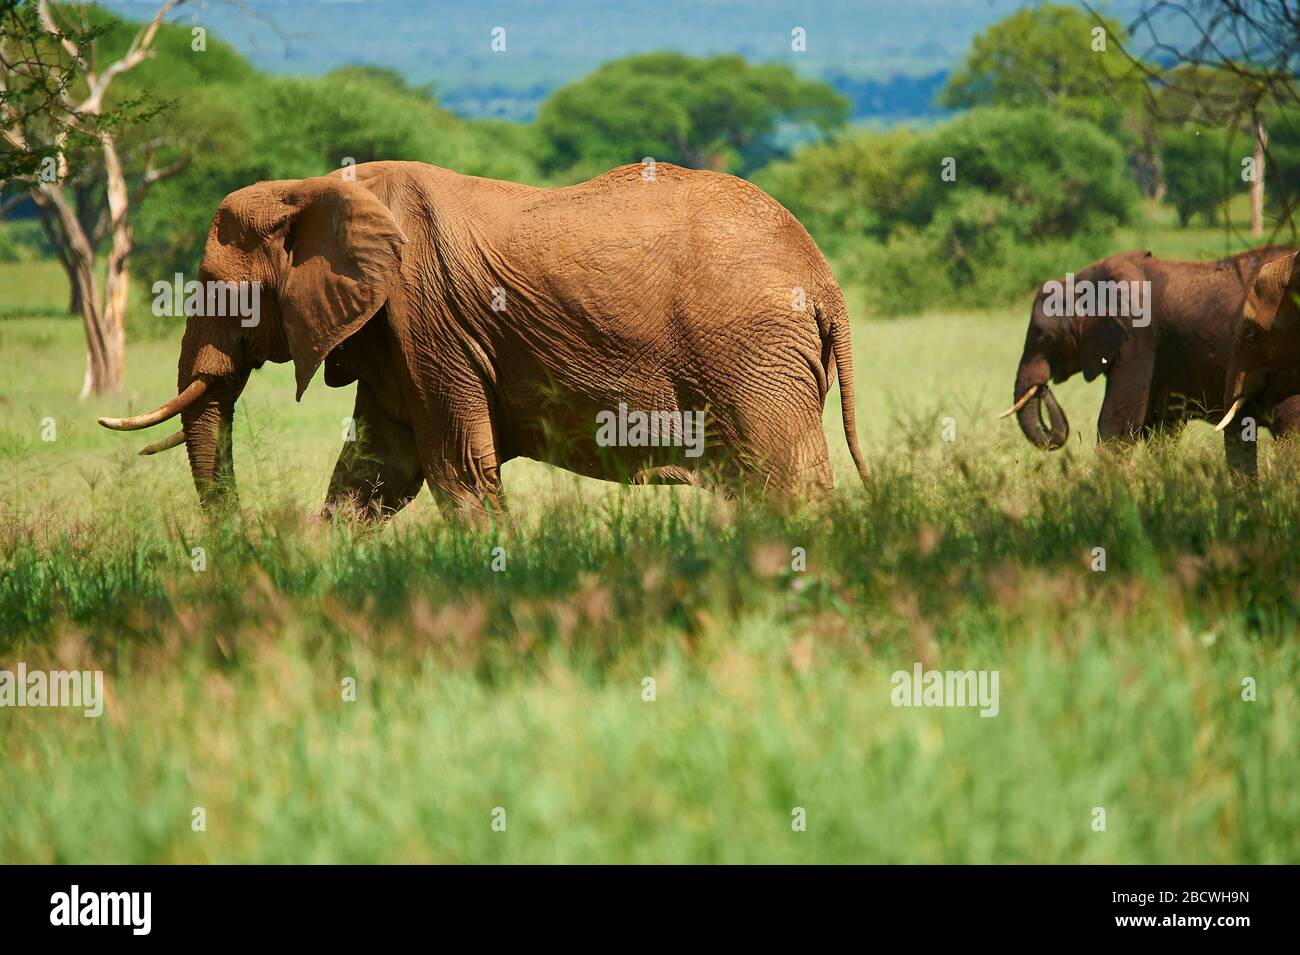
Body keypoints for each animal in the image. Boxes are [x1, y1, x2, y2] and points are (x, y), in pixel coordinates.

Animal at [98, 161, 870, 519]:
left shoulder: (427, 321)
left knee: (786, 480)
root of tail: (823, 276)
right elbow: (375, 473)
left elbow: (457, 475)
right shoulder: (395, 337)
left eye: (216, 286)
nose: (242, 539)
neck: (315, 188)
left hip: (752, 356)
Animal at [1001, 245, 1300, 474]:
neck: (1083, 280)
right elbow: (1161, 430)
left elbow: (1117, 425)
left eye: (1045, 338)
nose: (1043, 389)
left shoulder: (1138, 340)